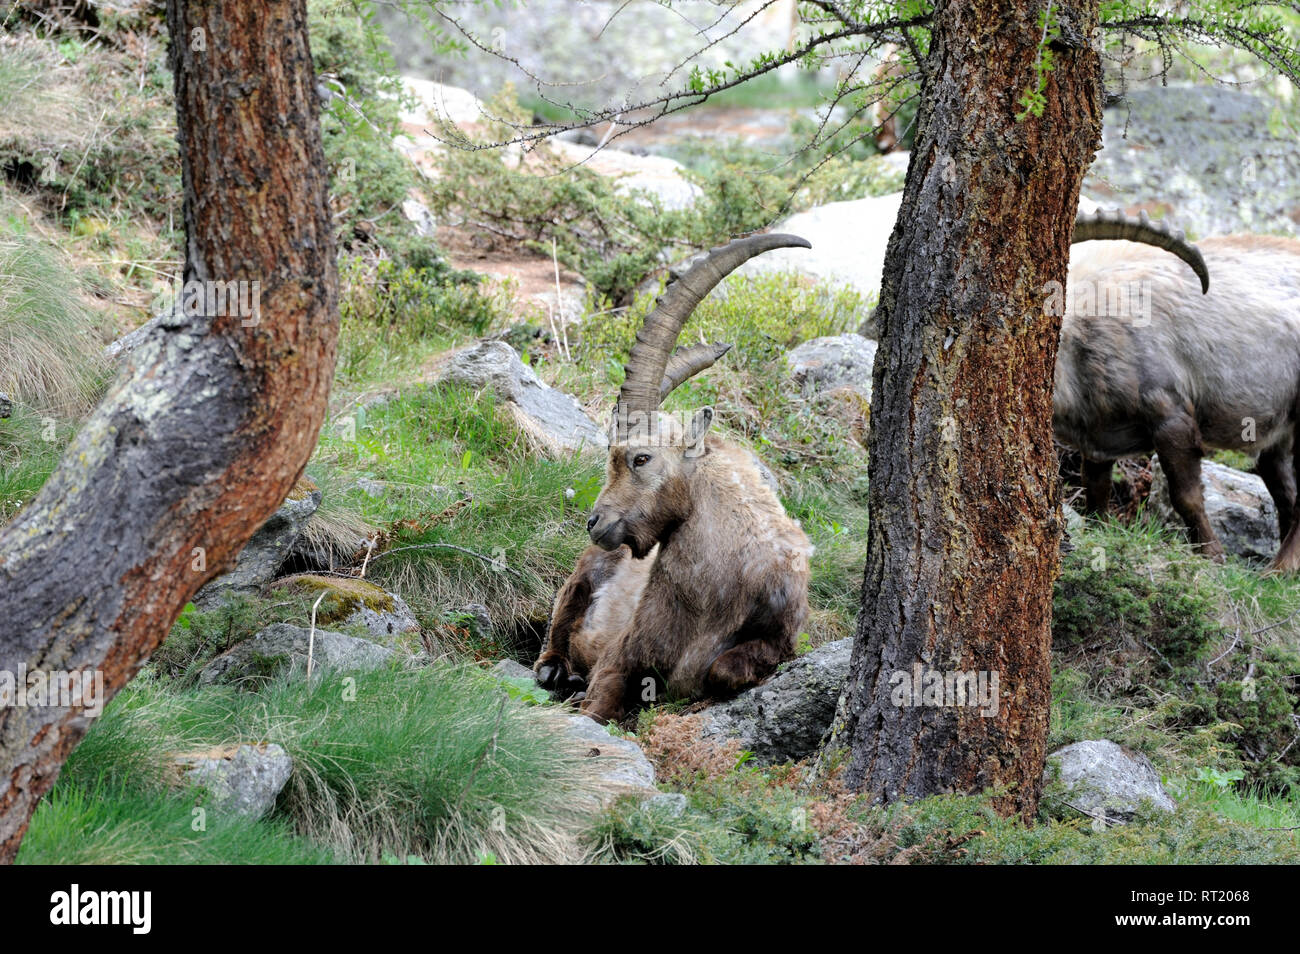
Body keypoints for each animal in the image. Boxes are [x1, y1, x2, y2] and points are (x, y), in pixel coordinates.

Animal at [534, 235, 815, 724]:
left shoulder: (779, 636)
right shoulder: (623, 651)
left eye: (640, 458)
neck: (711, 592)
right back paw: (557, 672)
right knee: (557, 624)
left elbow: (722, 670)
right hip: (583, 575)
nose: (595, 523)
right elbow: (599, 702)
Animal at [1055, 209, 1300, 568]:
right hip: (1278, 436)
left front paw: (1213, 556)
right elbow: (1095, 491)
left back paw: (1277, 570)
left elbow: (1186, 496)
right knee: (1286, 493)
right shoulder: (1098, 441)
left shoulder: (1170, 414)